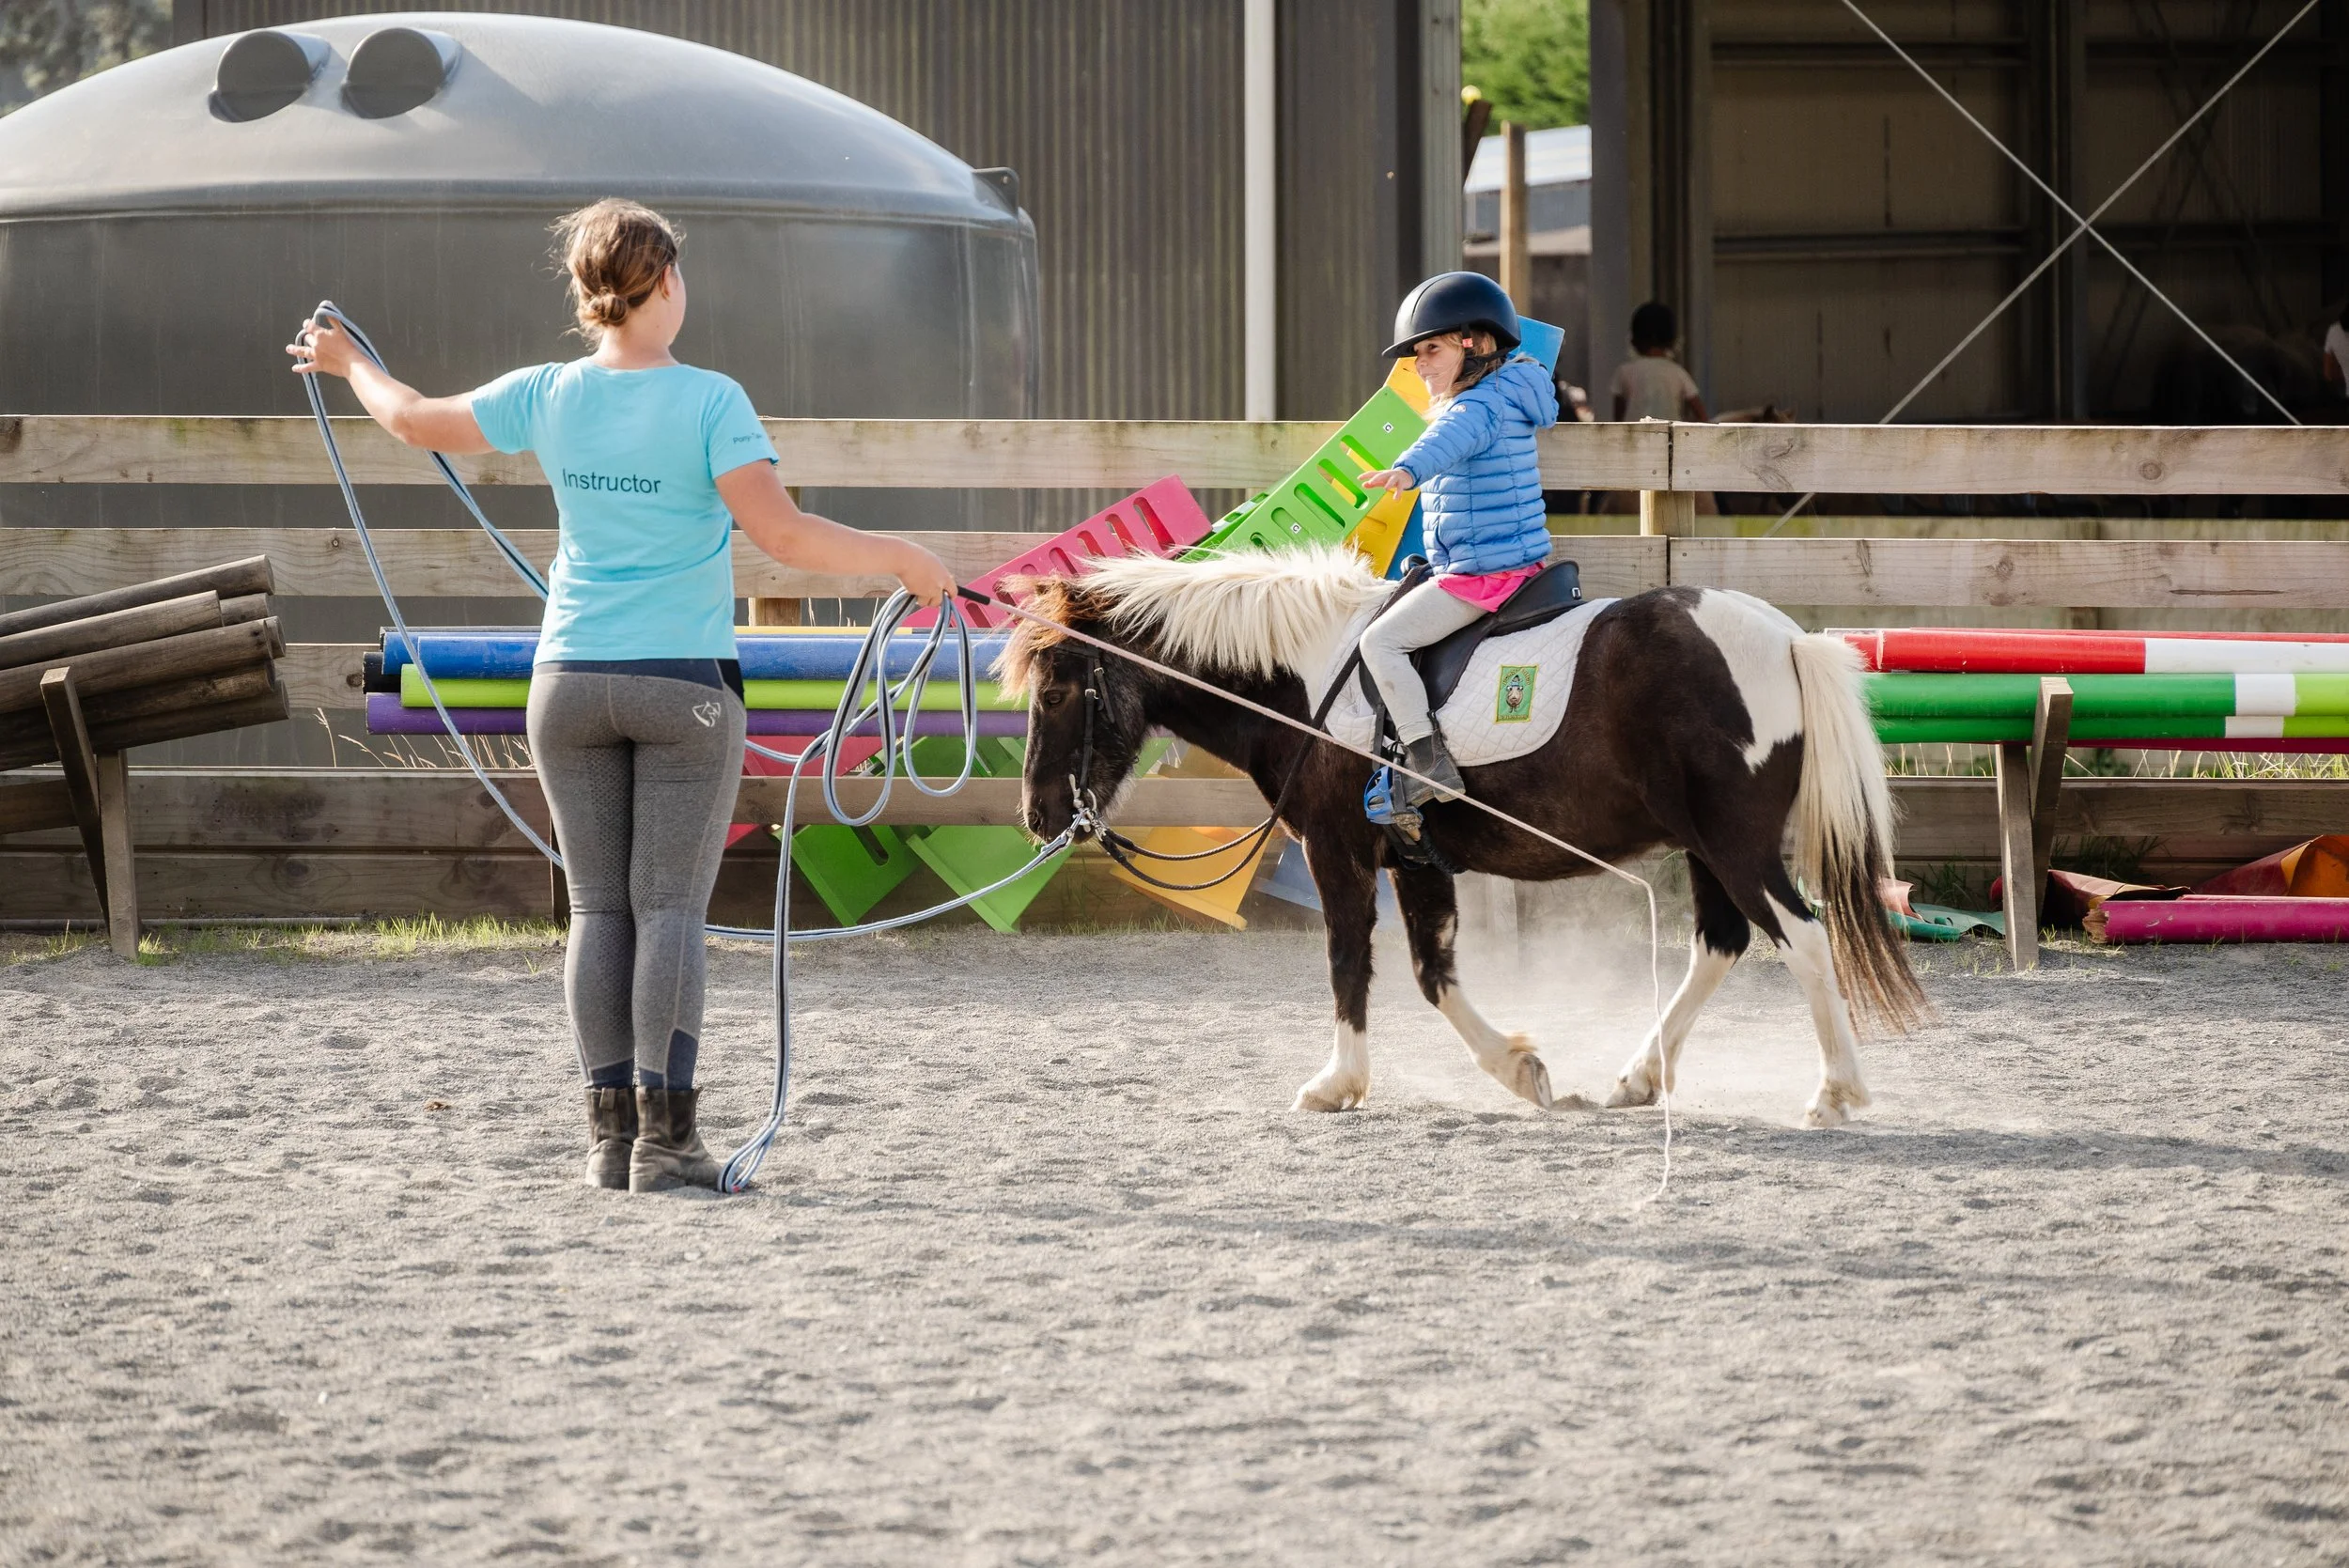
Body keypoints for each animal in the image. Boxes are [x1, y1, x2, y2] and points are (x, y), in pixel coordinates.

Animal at [996, 545, 1924, 1127]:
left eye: (1056, 693)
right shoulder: (1415, 859)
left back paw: (1836, 1091)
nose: (1037, 817)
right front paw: (1519, 1069)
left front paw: (1338, 1082)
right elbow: (1432, 971)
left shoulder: (1339, 849)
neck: (1308, 678)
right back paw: (1638, 1076)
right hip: (1704, 846)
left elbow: (1349, 959)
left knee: (1805, 939)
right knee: (1721, 944)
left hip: (1735, 842)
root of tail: (1785, 637)